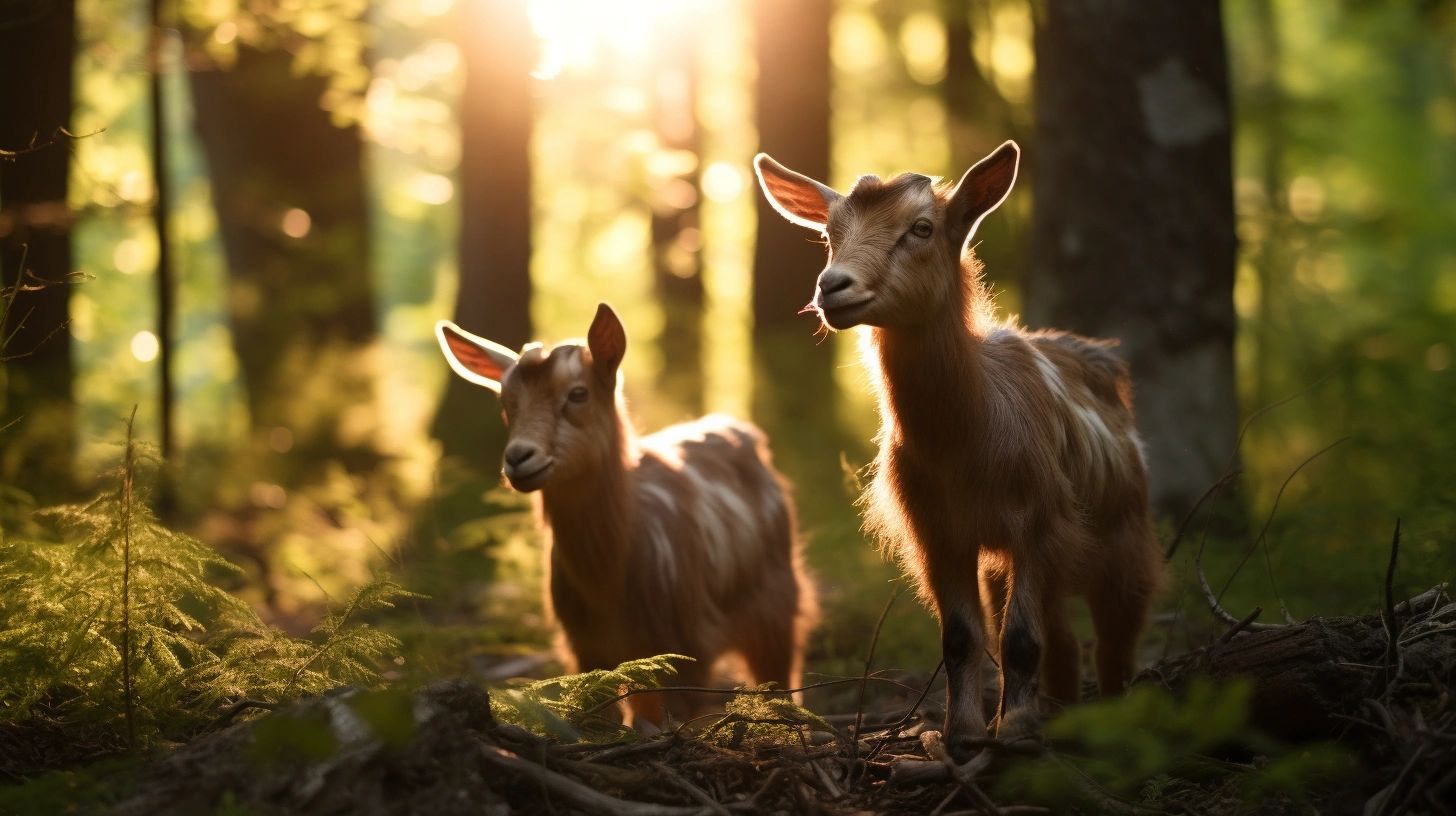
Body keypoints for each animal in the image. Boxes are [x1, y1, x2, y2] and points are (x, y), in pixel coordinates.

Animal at [435, 302, 816, 727]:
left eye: (578, 393)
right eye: (506, 402)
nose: (519, 458)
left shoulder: (687, 644)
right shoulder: (586, 650)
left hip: (779, 602)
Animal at [753, 141, 1163, 760]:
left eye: (921, 227)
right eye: (829, 232)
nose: (832, 286)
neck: (967, 442)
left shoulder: (1040, 518)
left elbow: (1020, 640)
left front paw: (1013, 732)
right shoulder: (937, 529)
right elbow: (962, 638)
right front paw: (965, 734)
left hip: (1125, 533)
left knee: (1117, 640)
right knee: (1065, 641)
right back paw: (1061, 719)